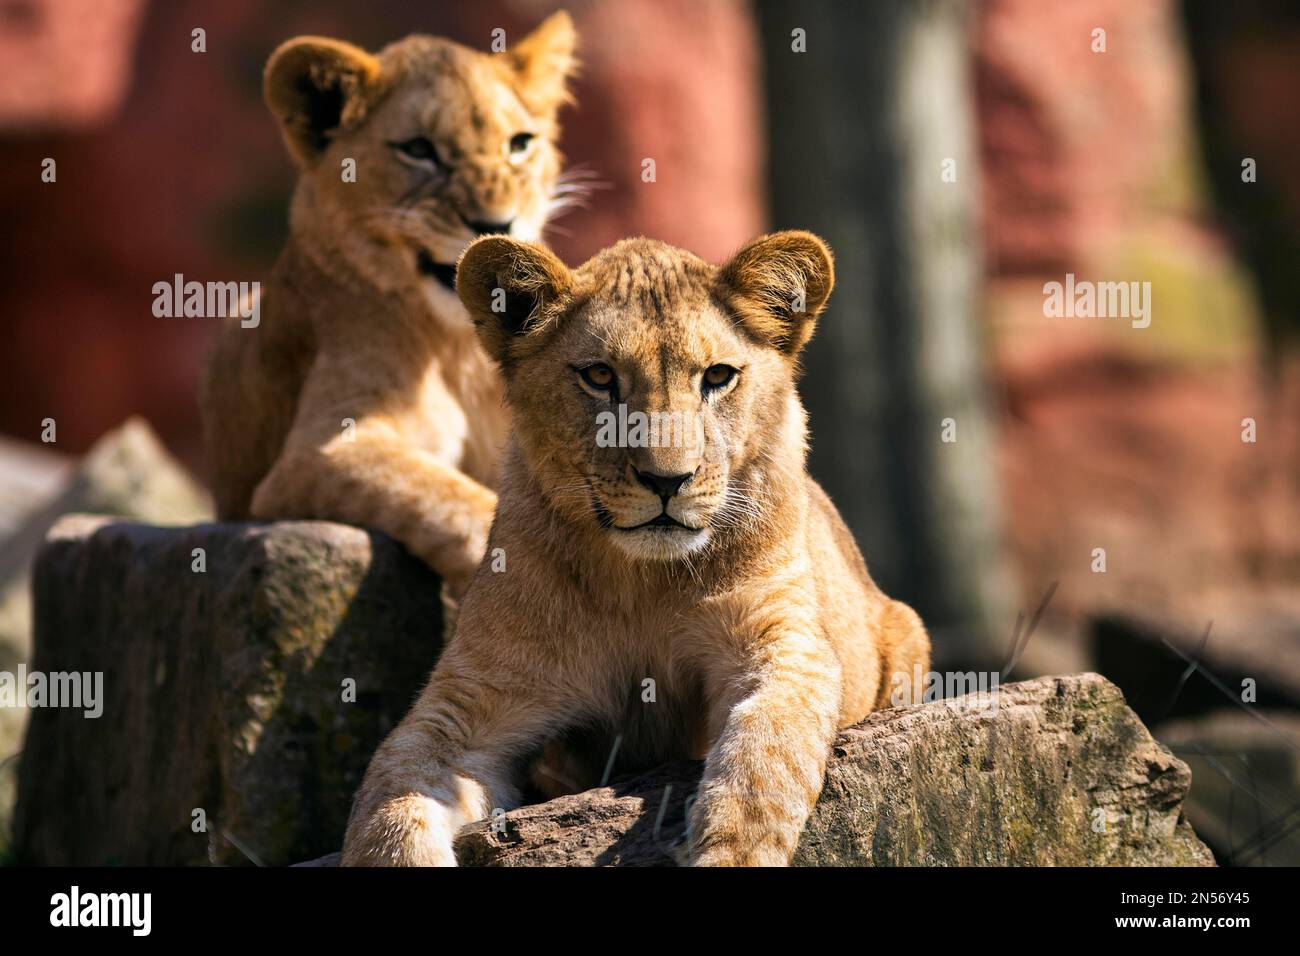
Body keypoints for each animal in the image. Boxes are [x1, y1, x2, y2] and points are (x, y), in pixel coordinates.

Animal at [200, 13, 578, 595]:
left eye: (519, 144)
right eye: (418, 150)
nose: (496, 224)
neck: (456, 348)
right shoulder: (318, 452)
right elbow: (462, 505)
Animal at [340, 230, 931, 866]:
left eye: (717, 376)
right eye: (599, 376)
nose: (668, 480)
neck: (640, 583)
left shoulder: (781, 645)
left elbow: (764, 758)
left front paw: (729, 852)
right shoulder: (469, 701)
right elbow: (392, 806)